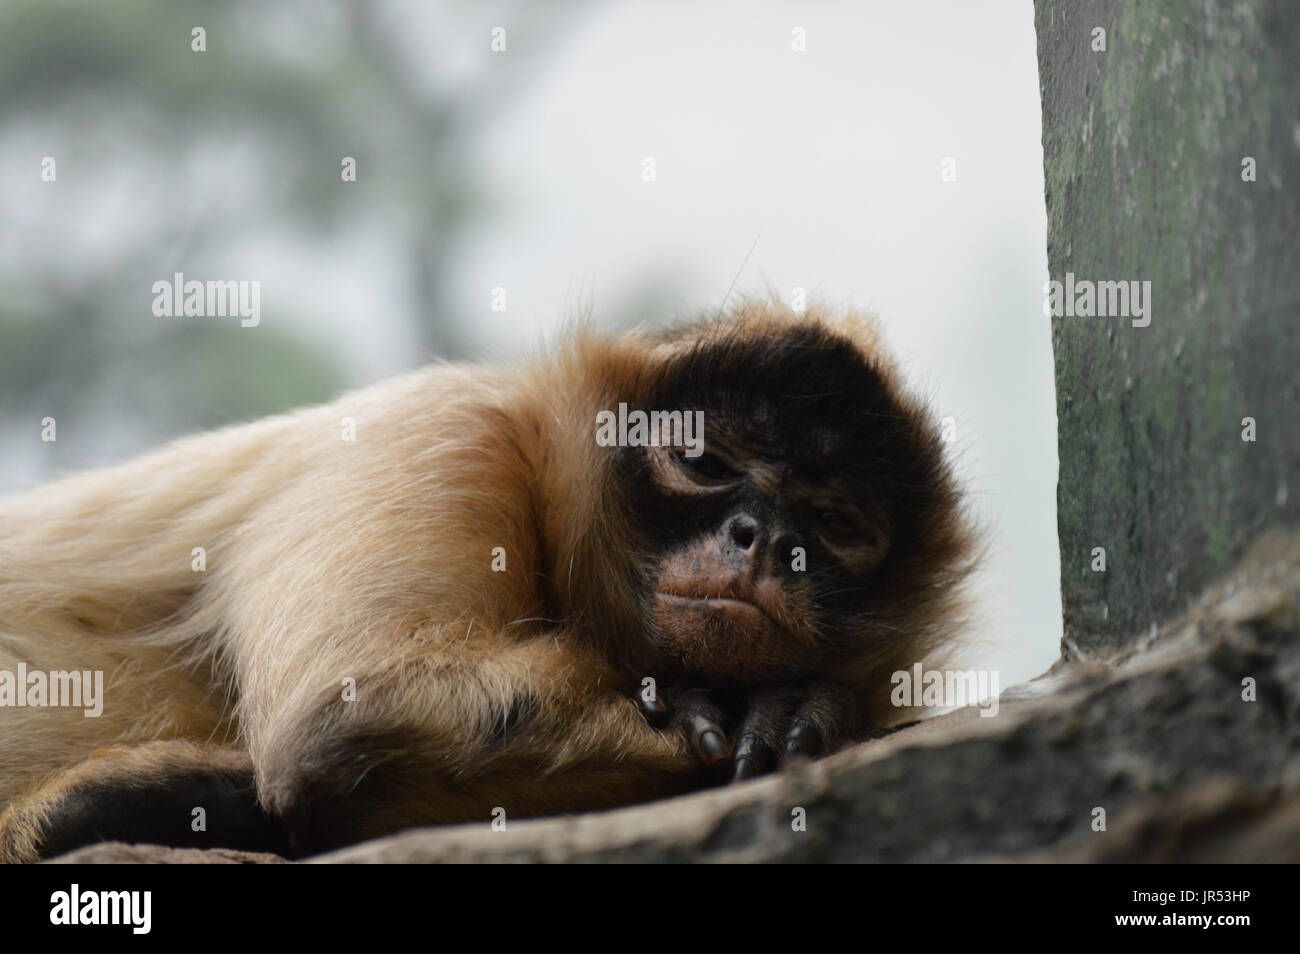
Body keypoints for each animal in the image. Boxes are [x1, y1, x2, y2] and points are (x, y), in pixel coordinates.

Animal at [0, 299, 977, 862]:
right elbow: (344, 727)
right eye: (704, 462)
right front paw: (763, 711)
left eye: (834, 524)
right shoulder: (452, 431)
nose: (764, 540)